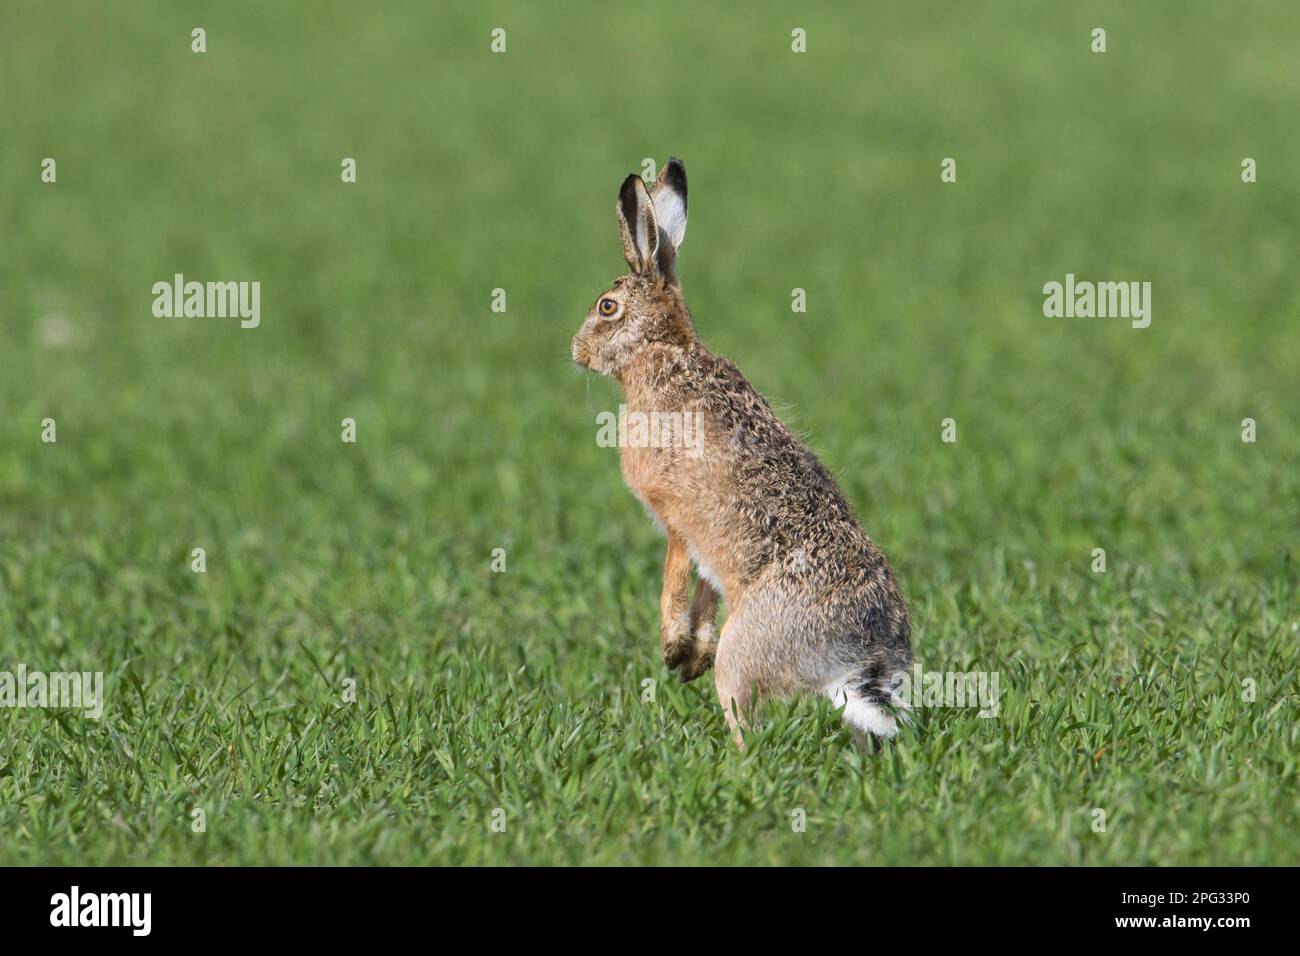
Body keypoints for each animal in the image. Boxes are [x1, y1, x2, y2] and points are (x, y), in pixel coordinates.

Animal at [571, 157, 913, 750]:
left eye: (607, 308)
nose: (575, 351)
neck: (663, 353)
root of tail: (855, 661)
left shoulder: (676, 521)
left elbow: (674, 584)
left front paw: (671, 650)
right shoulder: (707, 555)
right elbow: (705, 594)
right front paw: (689, 657)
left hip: (746, 650)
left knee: (742, 717)